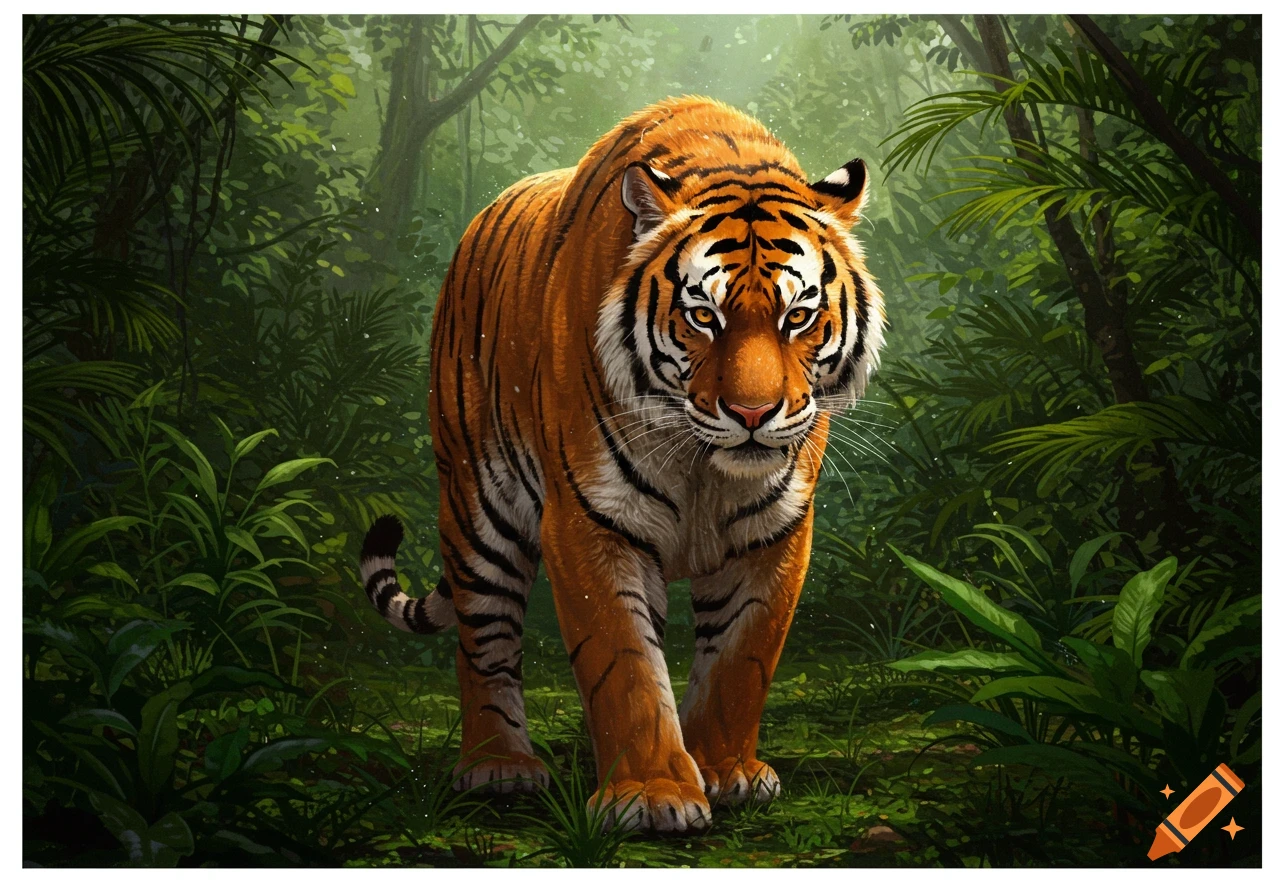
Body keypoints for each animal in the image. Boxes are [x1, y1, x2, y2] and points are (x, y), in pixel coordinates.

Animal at [357, 95, 885, 833]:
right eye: (703, 316)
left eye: (798, 317)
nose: (752, 413)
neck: (703, 465)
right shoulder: (589, 520)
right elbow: (624, 663)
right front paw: (652, 795)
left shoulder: (774, 531)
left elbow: (741, 659)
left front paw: (724, 770)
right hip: (476, 504)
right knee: (483, 639)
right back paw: (498, 767)